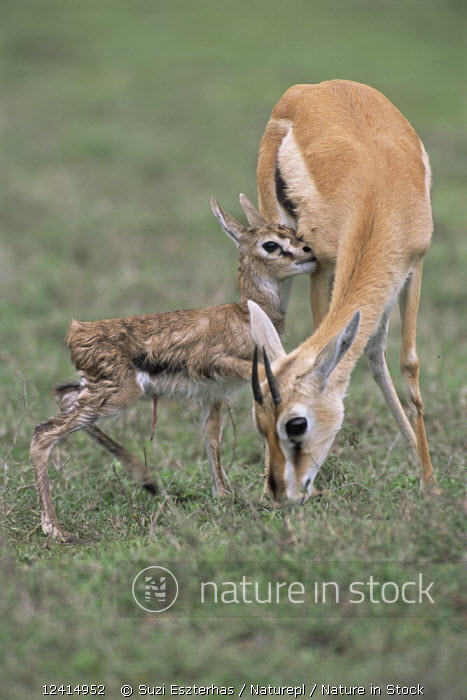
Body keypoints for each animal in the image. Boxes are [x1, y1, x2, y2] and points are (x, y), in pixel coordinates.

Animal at [30, 195, 316, 541]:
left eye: (291, 230)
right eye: (270, 244)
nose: (310, 252)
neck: (248, 314)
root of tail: (77, 332)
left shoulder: (212, 395)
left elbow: (212, 439)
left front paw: (223, 496)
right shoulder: (217, 363)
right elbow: (268, 375)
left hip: (96, 390)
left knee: (62, 396)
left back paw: (146, 479)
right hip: (116, 396)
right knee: (43, 433)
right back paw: (55, 529)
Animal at [248, 79, 439, 503]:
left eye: (295, 424)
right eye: (260, 424)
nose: (280, 492)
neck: (377, 201)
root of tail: (312, 88)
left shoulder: (412, 267)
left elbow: (408, 364)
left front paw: (429, 482)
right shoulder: (322, 263)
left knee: (373, 348)